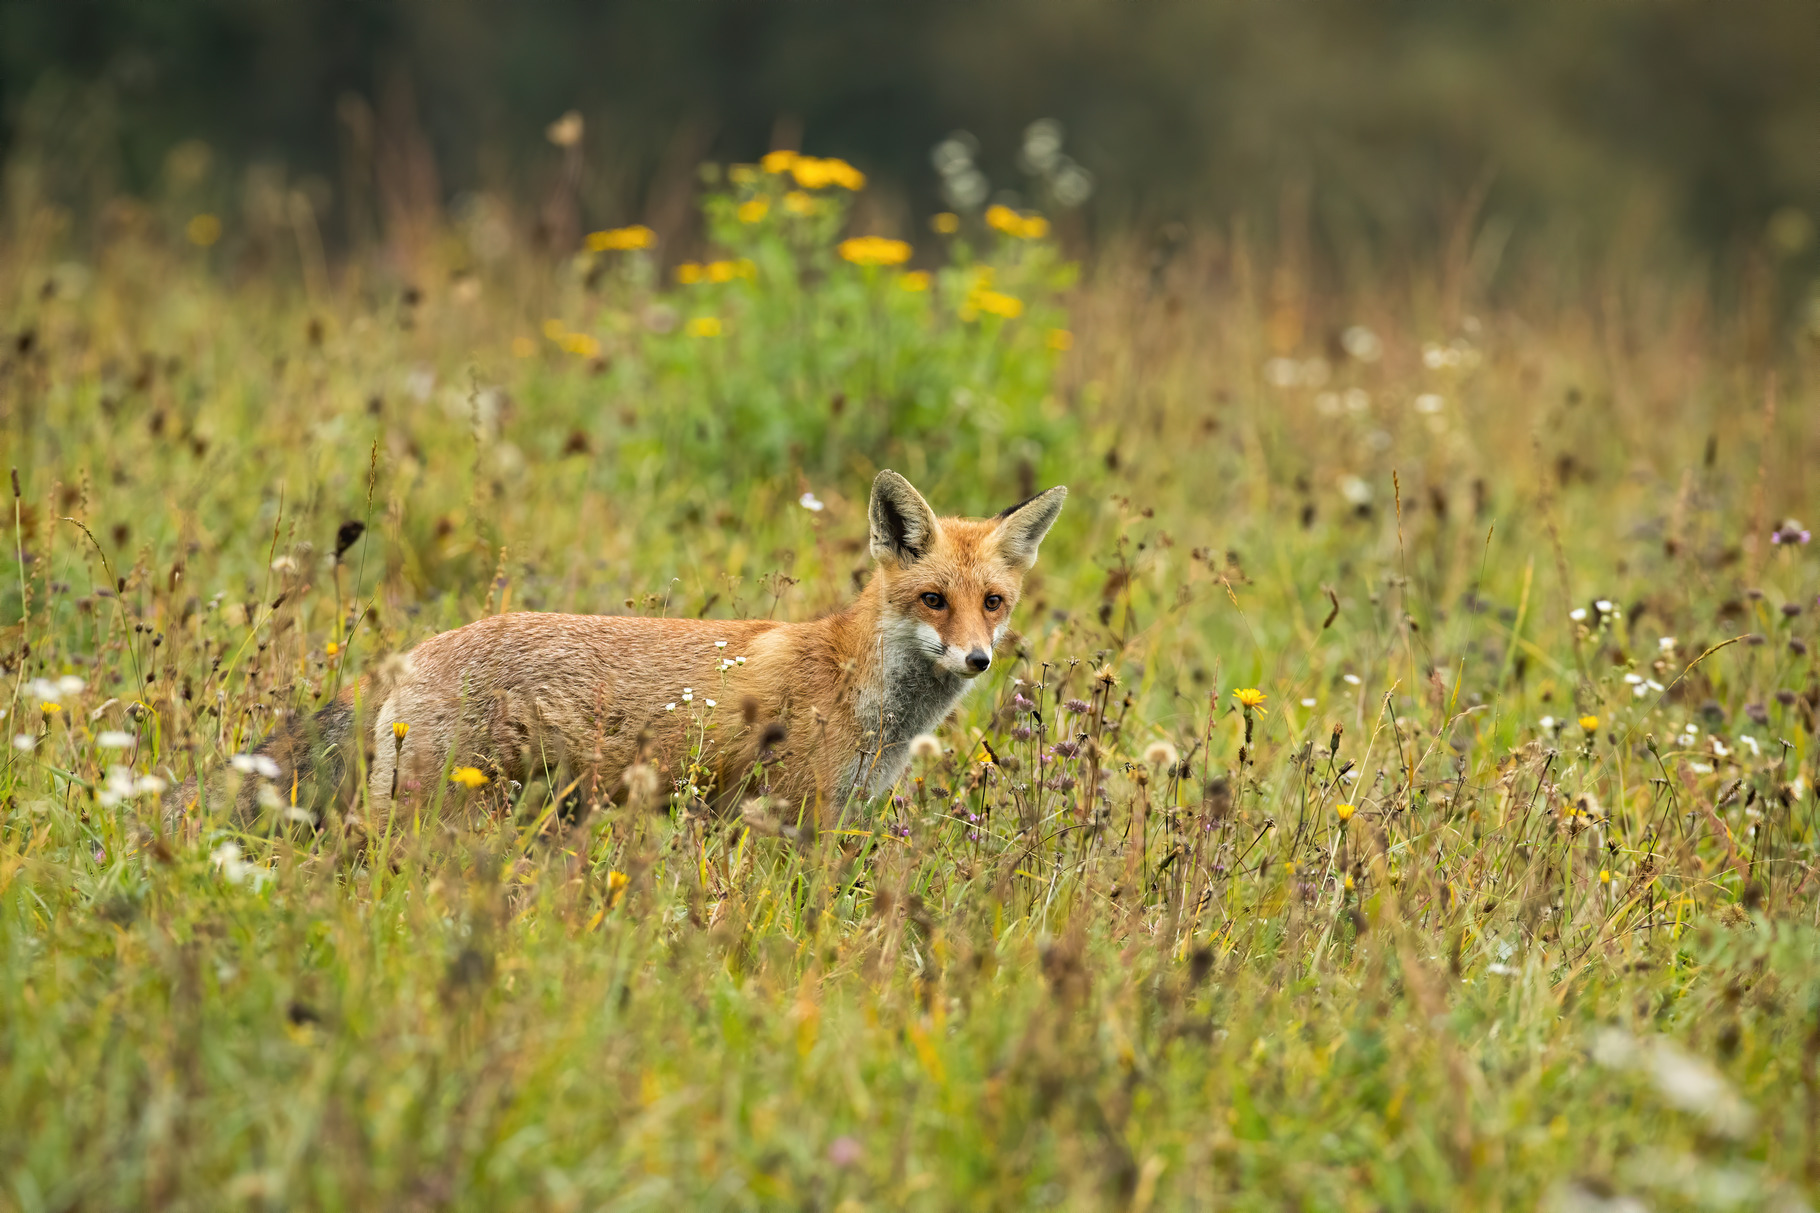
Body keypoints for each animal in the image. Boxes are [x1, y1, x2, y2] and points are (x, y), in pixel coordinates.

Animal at [177, 471, 1065, 827]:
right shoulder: (785, 813)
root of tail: (411, 654)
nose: (977, 659)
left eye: (992, 603)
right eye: (933, 600)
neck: (863, 694)